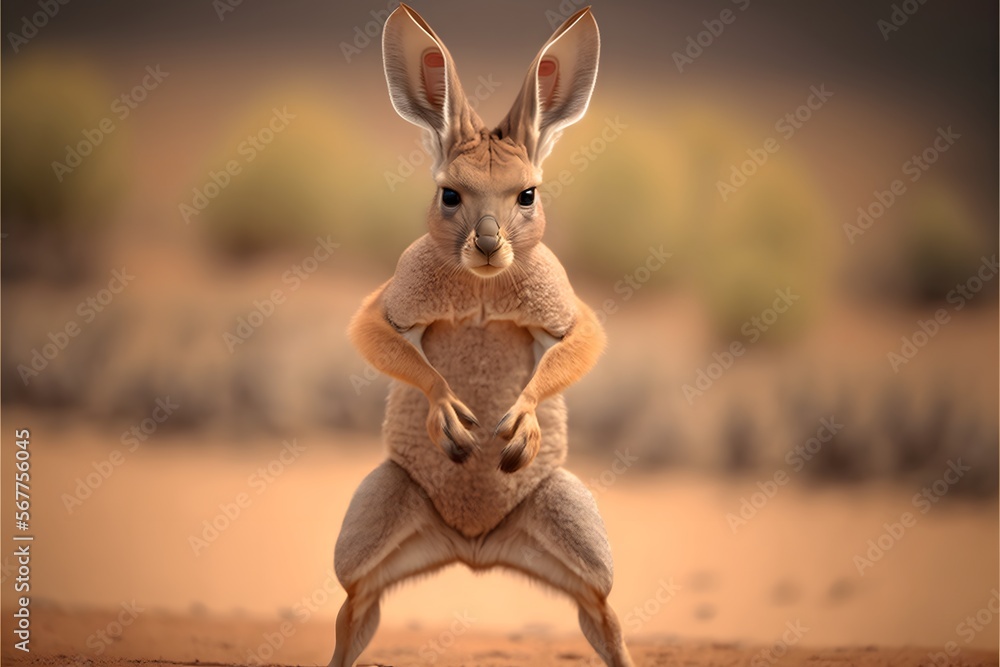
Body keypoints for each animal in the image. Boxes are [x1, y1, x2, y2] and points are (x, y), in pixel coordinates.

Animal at [331, 4, 634, 667]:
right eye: (449, 194)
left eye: (528, 194)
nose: (490, 244)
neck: (482, 291)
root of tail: (474, 547)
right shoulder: (387, 305)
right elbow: (392, 347)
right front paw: (454, 419)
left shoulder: (569, 311)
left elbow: (574, 348)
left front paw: (517, 428)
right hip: (372, 522)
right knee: (355, 607)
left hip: (575, 527)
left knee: (601, 611)